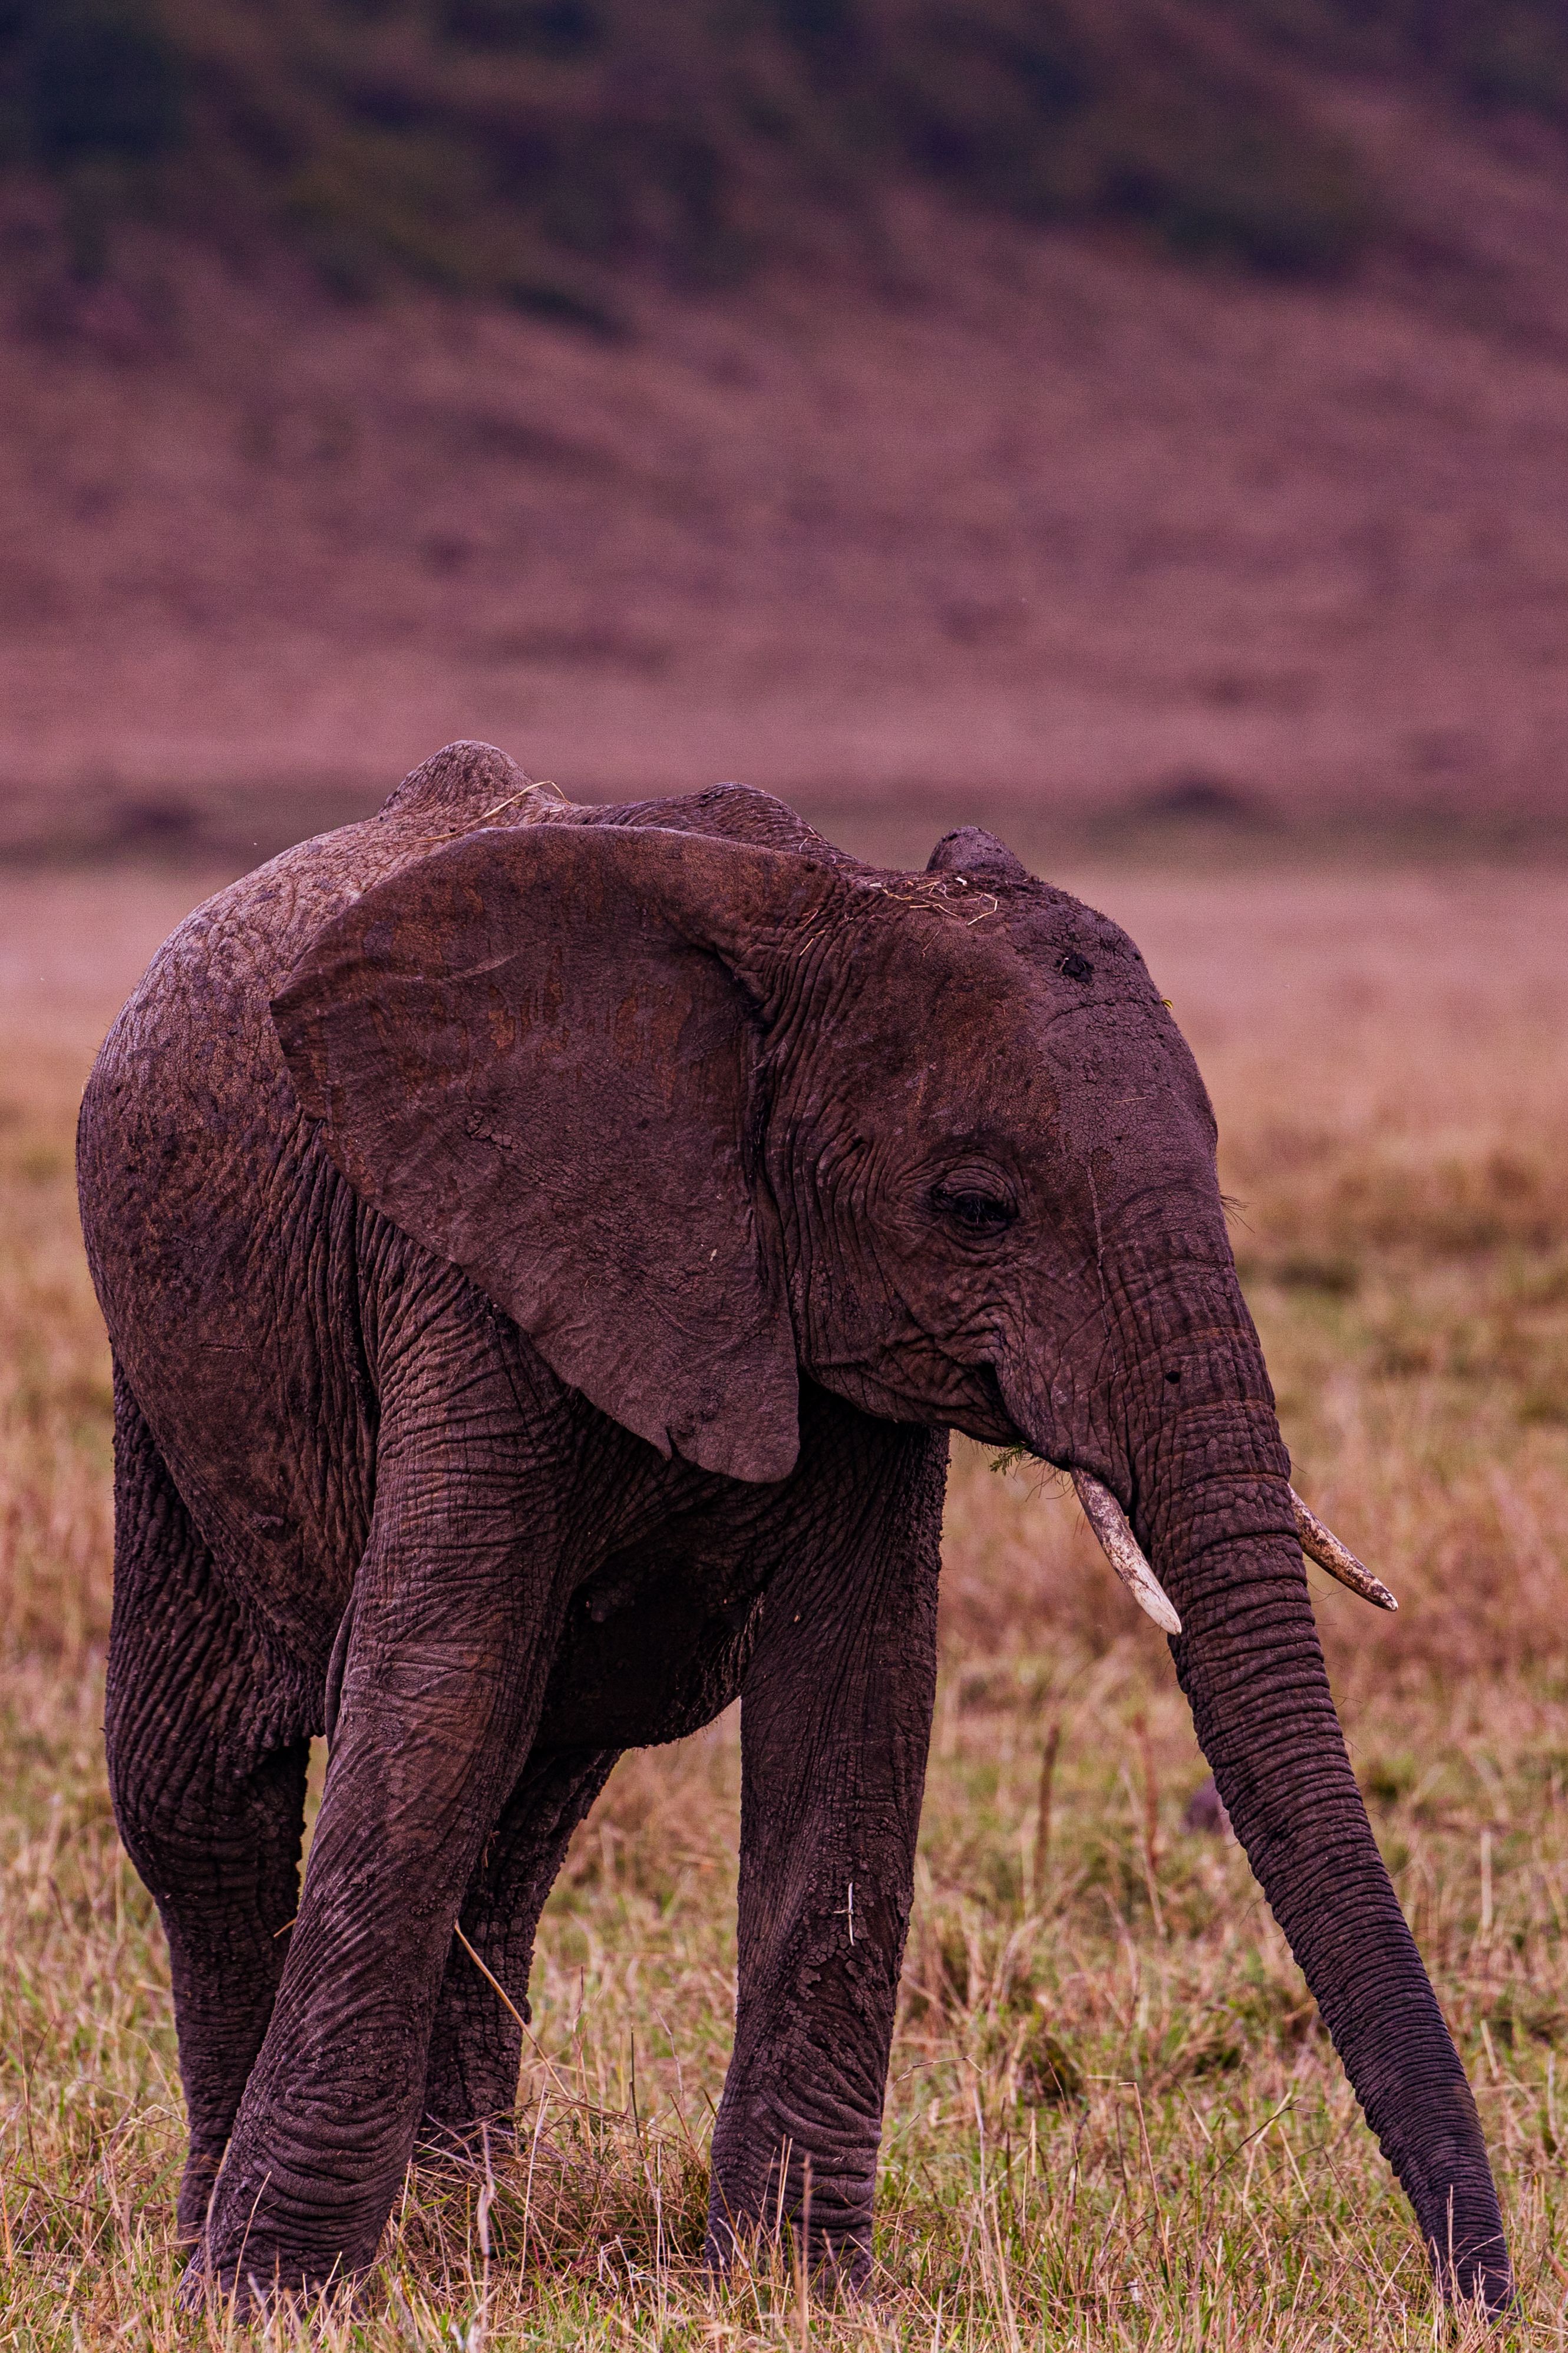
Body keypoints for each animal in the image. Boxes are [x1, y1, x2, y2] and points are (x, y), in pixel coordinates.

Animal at [75, 738, 1510, 2316]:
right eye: (974, 1206)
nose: (1475, 2295)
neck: (828, 906)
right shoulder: (473, 1266)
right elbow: (441, 1690)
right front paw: (266, 2296)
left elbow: (854, 1703)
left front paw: (796, 2286)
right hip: (164, 1366)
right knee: (205, 1791)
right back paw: (237, 2222)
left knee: (520, 1813)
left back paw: (469, 2215)